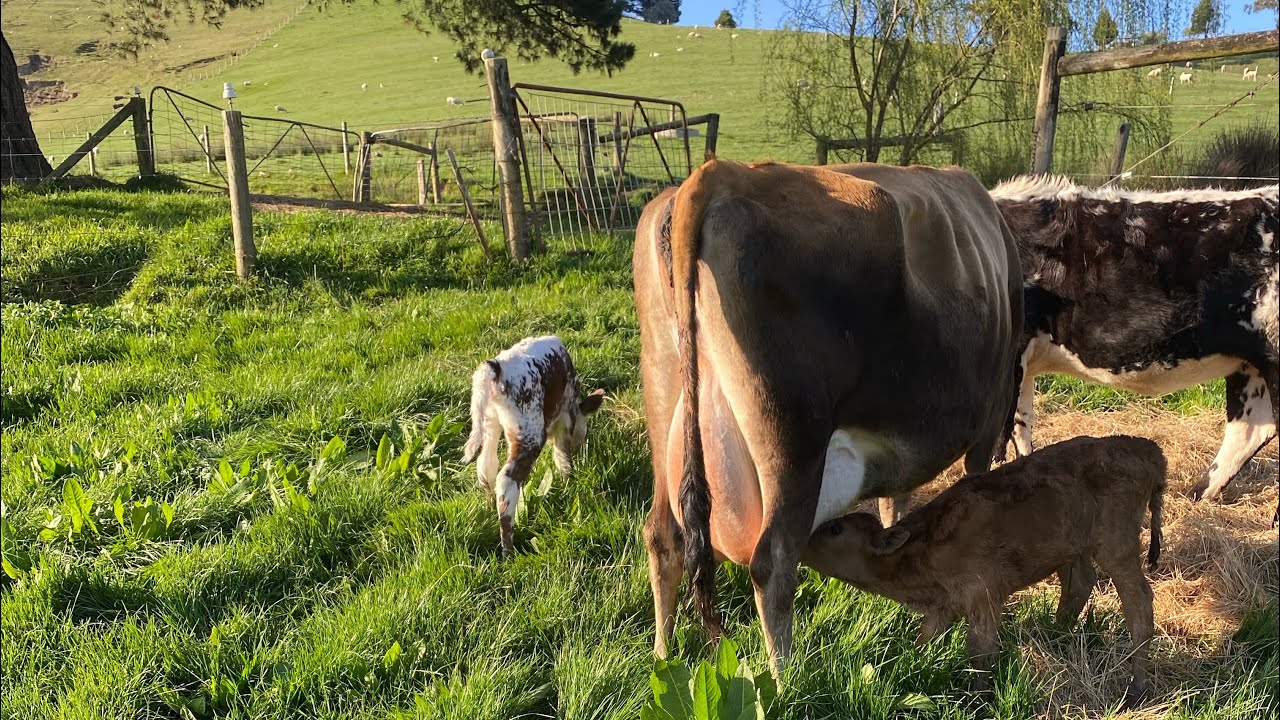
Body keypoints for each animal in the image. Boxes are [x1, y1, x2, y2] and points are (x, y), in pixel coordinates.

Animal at [461, 336, 605, 557]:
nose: (580, 448)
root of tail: (497, 367)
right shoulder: (565, 415)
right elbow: (562, 456)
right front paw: (570, 484)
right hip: (530, 432)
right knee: (506, 481)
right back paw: (508, 551)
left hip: (489, 421)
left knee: (486, 467)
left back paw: (488, 510)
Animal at [635, 159, 1022, 676]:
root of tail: (724, 172)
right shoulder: (985, 425)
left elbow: (893, 504)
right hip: (794, 437)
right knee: (774, 561)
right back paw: (786, 679)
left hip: (665, 396)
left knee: (665, 537)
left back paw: (662, 657)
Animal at [804, 435, 1165, 708]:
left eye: (836, 529)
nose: (804, 539)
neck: (921, 545)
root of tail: (1146, 449)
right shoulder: (944, 606)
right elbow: (925, 639)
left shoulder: (983, 596)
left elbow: (979, 649)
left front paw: (977, 700)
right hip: (1077, 548)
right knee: (1080, 583)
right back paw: (1057, 635)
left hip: (1118, 549)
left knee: (1139, 604)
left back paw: (1136, 688)